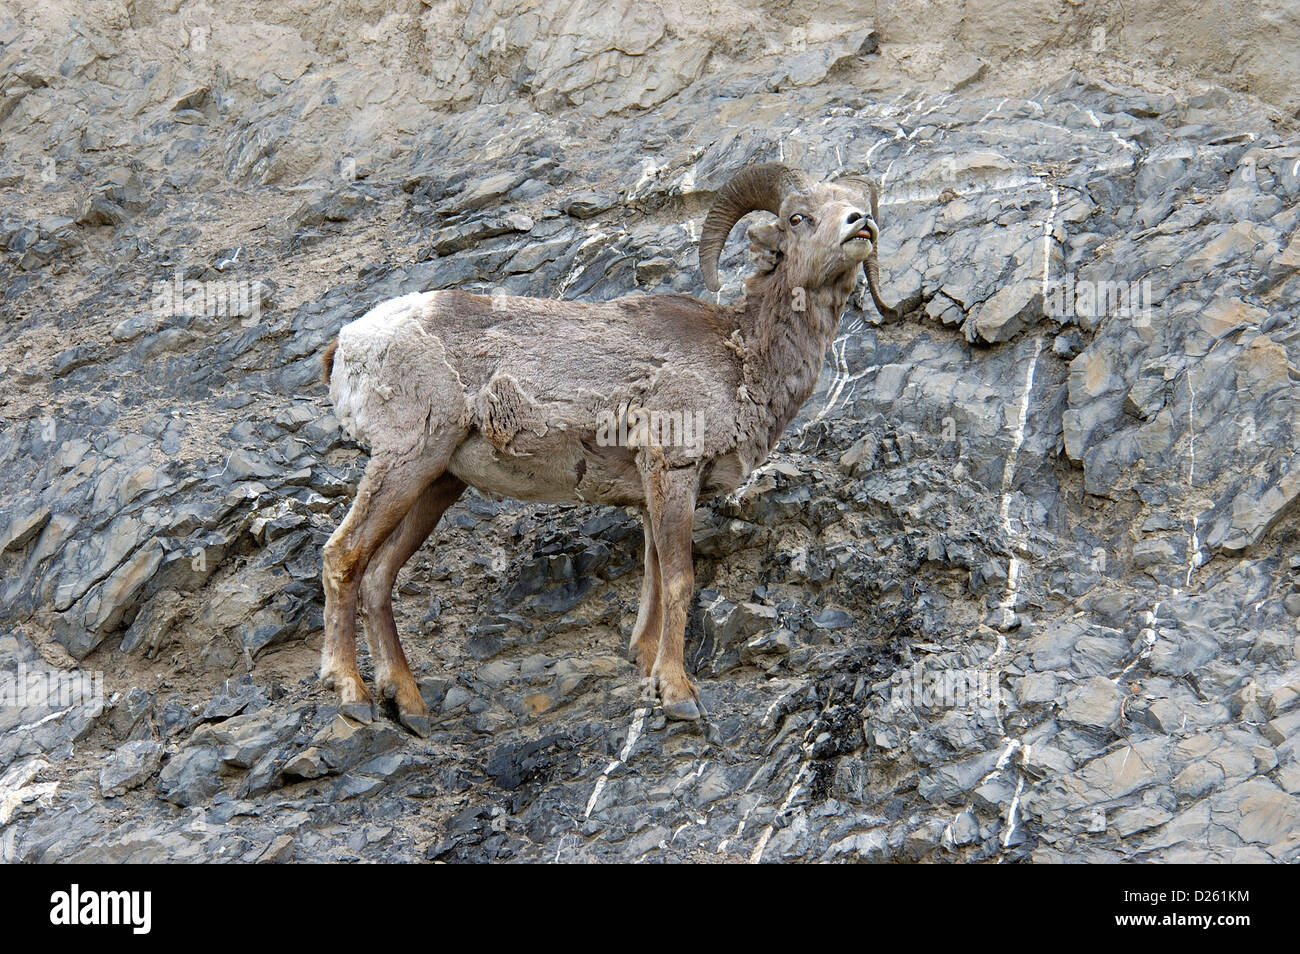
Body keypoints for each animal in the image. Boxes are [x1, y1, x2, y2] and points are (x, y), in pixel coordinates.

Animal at [319, 162, 895, 735]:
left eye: (851, 204)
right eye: (798, 217)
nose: (861, 223)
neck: (744, 356)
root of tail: (351, 341)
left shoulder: (649, 496)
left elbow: (655, 580)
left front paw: (647, 667)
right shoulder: (673, 470)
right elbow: (680, 580)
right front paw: (679, 694)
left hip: (438, 483)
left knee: (378, 577)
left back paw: (409, 705)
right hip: (406, 460)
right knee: (344, 556)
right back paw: (354, 697)